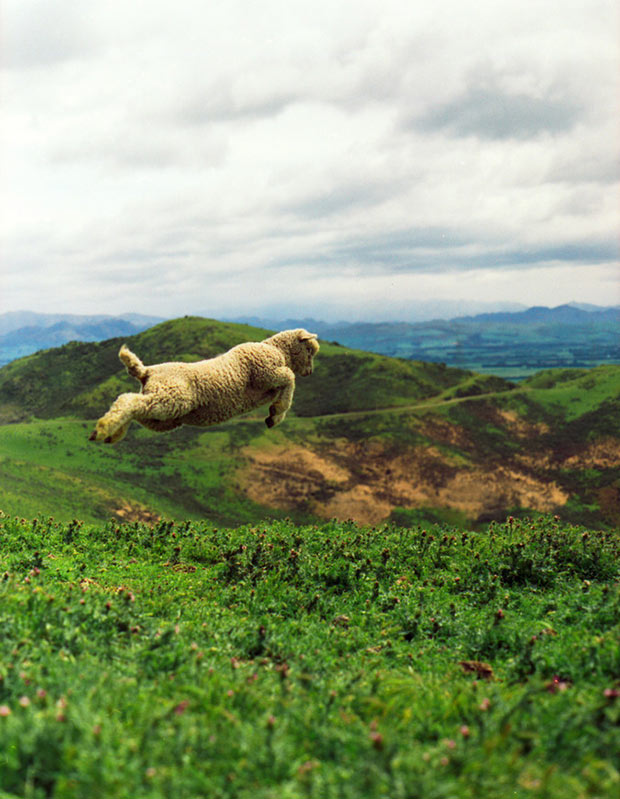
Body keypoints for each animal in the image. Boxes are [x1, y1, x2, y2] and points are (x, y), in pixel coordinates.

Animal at [88, 329, 319, 444]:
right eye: (310, 350)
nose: (310, 372)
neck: (278, 351)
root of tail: (148, 372)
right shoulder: (266, 373)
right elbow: (290, 378)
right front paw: (277, 412)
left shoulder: (270, 385)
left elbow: (286, 386)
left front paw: (274, 416)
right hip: (171, 398)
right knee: (127, 400)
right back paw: (102, 429)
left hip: (163, 416)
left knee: (134, 407)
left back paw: (111, 434)